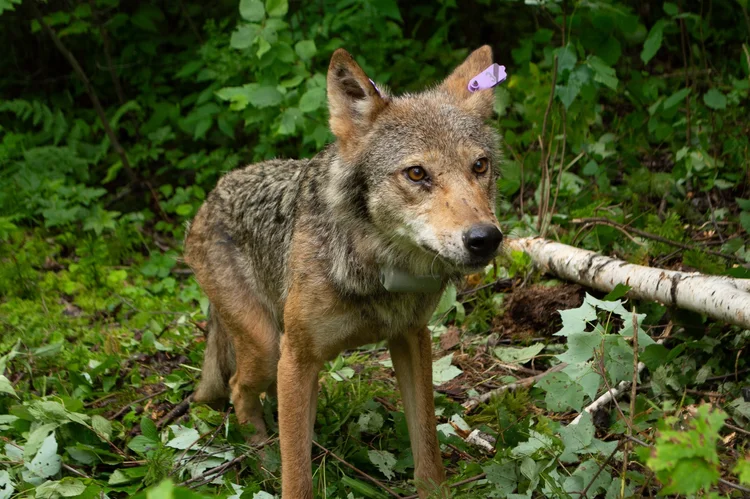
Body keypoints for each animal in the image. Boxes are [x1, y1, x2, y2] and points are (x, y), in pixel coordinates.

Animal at [184, 45, 503, 498]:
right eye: (417, 173)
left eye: (479, 166)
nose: (485, 238)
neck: (377, 269)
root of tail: (211, 195)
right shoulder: (296, 358)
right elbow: (297, 478)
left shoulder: (412, 338)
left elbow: (427, 447)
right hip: (267, 348)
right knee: (238, 394)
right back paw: (262, 462)